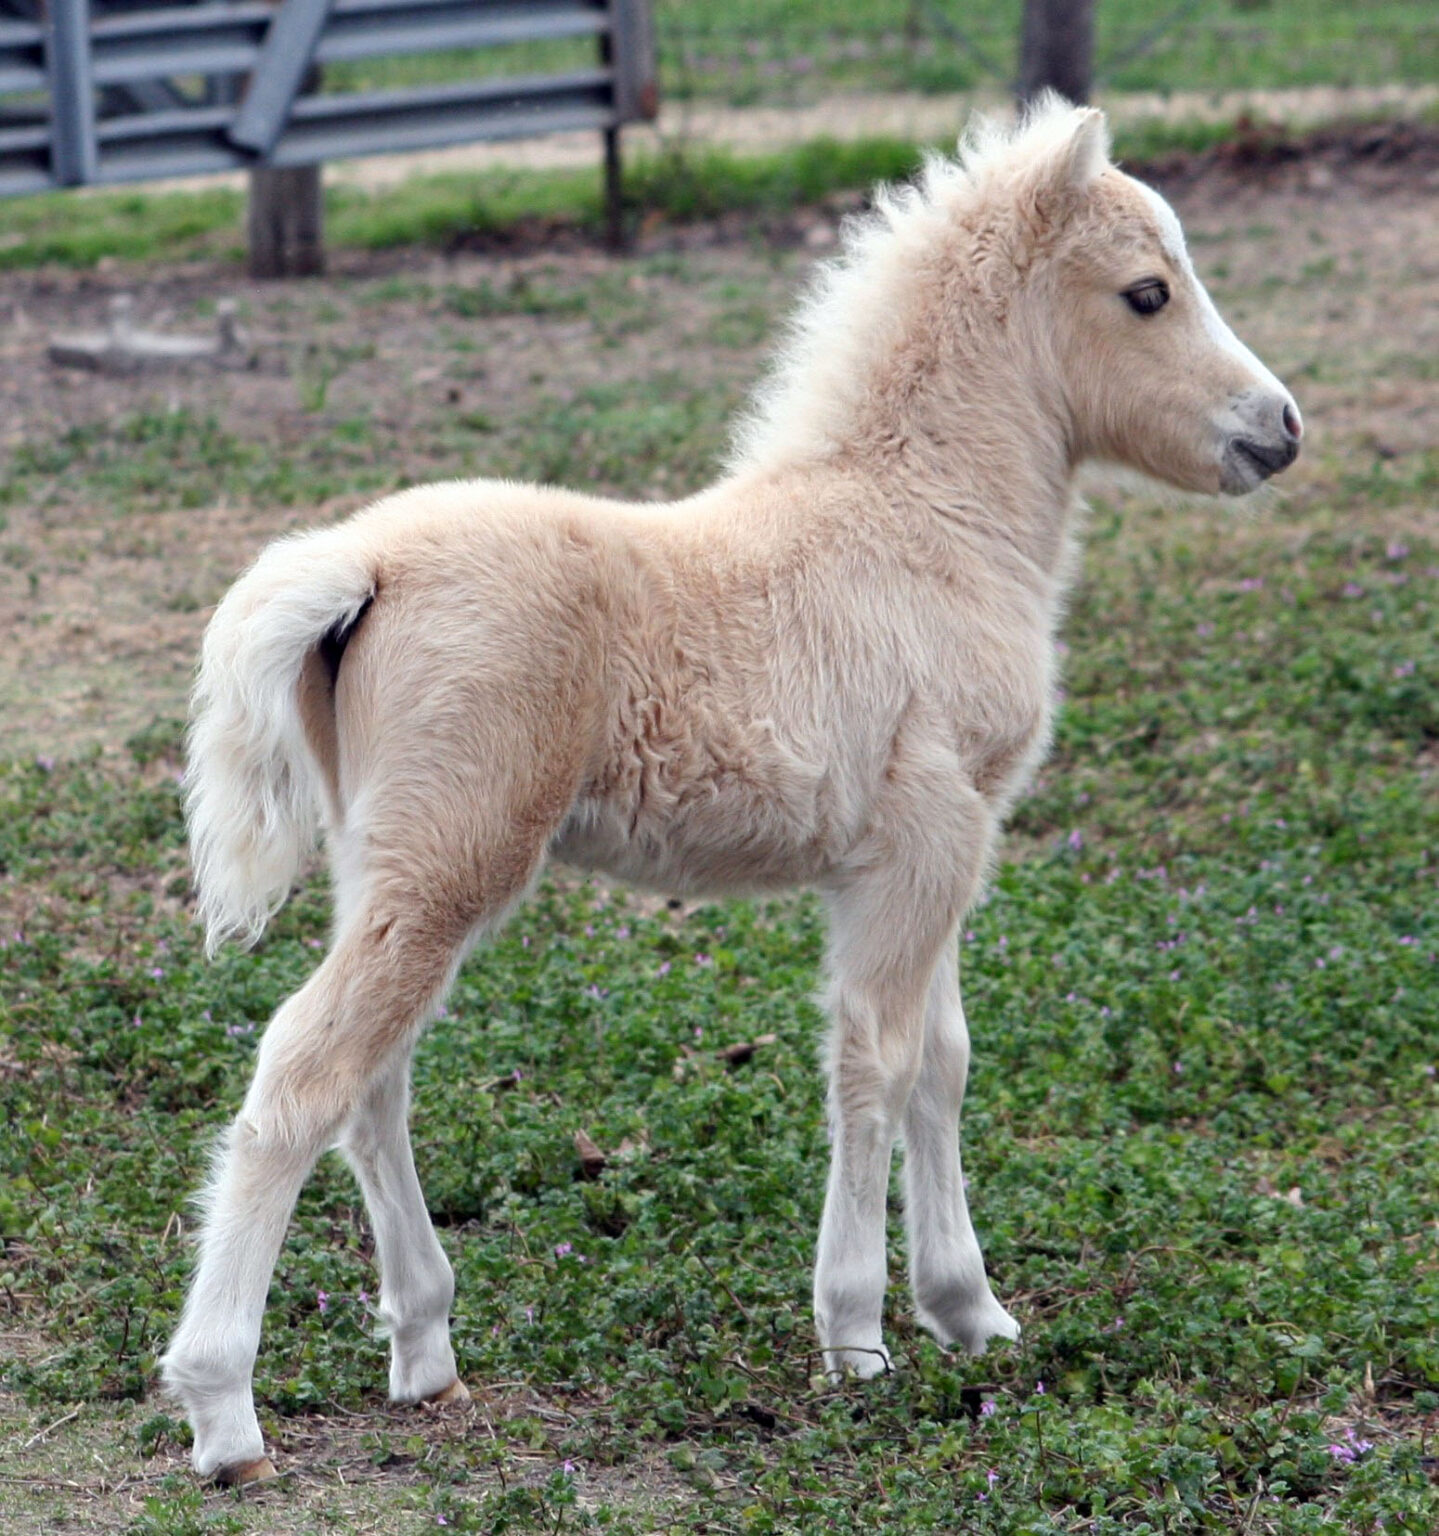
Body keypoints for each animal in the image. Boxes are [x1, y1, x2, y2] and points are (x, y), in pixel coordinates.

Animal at [160, 96, 1301, 1483]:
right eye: (1146, 292)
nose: (1277, 428)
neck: (922, 521)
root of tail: (360, 564)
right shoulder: (921, 839)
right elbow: (875, 1058)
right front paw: (856, 1338)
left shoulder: (940, 849)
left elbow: (942, 1058)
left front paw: (968, 1313)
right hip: (452, 856)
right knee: (302, 1075)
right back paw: (223, 1412)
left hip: (390, 865)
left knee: (373, 1080)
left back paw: (425, 1354)